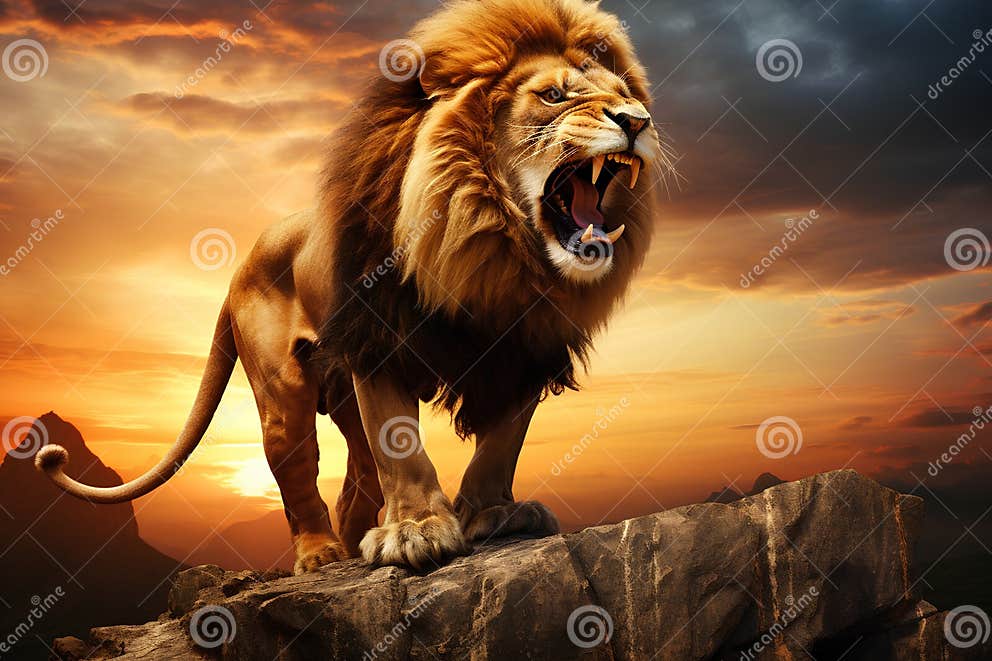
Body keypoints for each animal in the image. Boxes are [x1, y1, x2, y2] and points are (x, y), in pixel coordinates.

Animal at [36, 0, 670, 574]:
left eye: (626, 91)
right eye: (554, 96)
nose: (637, 120)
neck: (488, 249)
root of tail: (242, 262)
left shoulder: (529, 349)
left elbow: (500, 443)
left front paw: (492, 515)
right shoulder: (378, 336)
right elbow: (401, 448)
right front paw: (417, 533)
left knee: (359, 474)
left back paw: (357, 536)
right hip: (283, 395)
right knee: (299, 473)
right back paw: (321, 556)